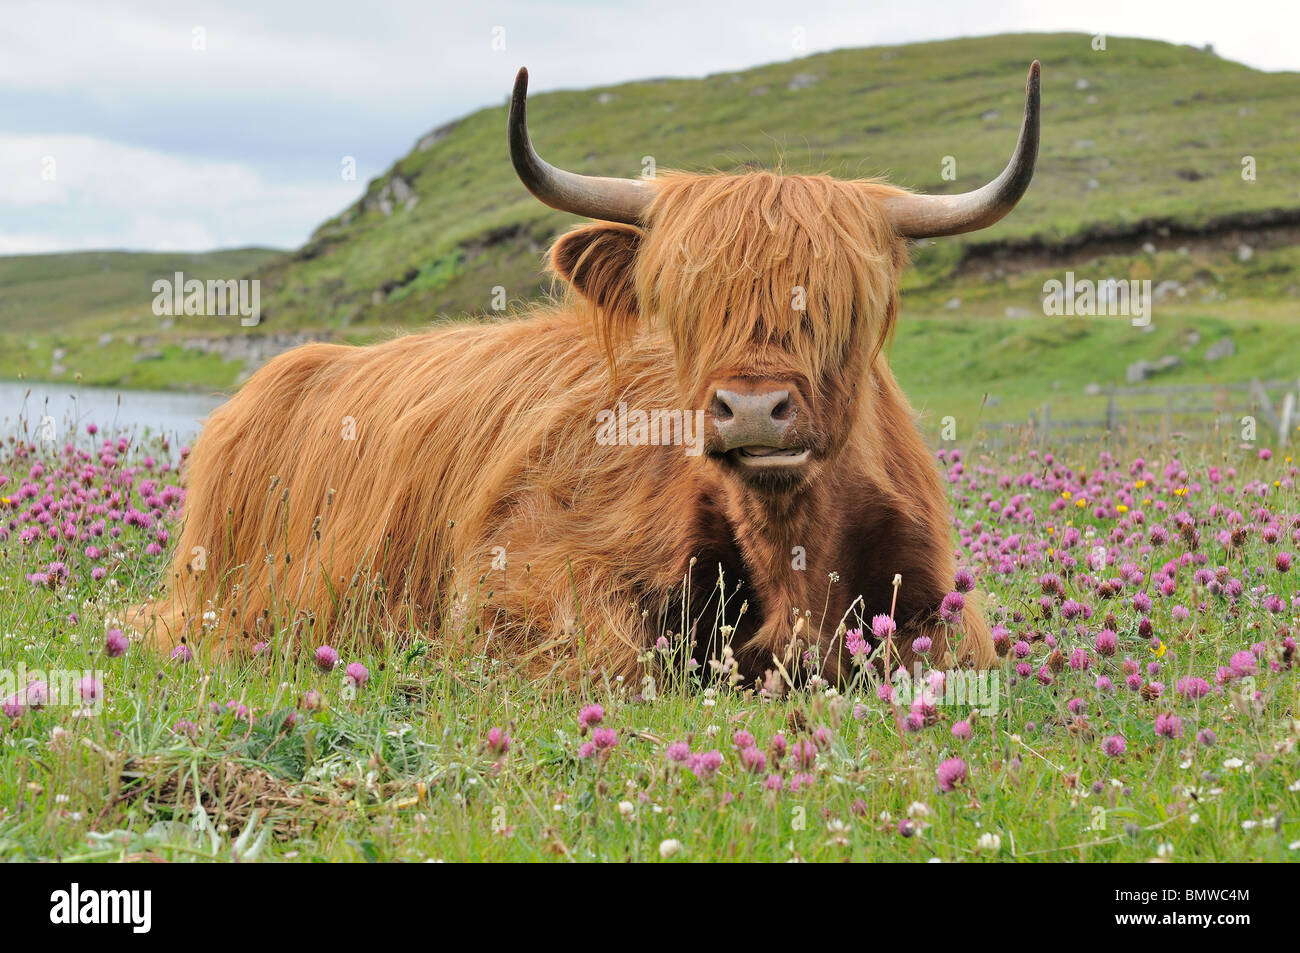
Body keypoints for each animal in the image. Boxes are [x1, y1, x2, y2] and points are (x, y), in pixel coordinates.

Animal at [138, 62, 1041, 689]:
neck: (789, 548)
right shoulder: (527, 569)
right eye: (682, 304)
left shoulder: (941, 605)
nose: (752, 409)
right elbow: (613, 657)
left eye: (842, 304)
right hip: (212, 599)